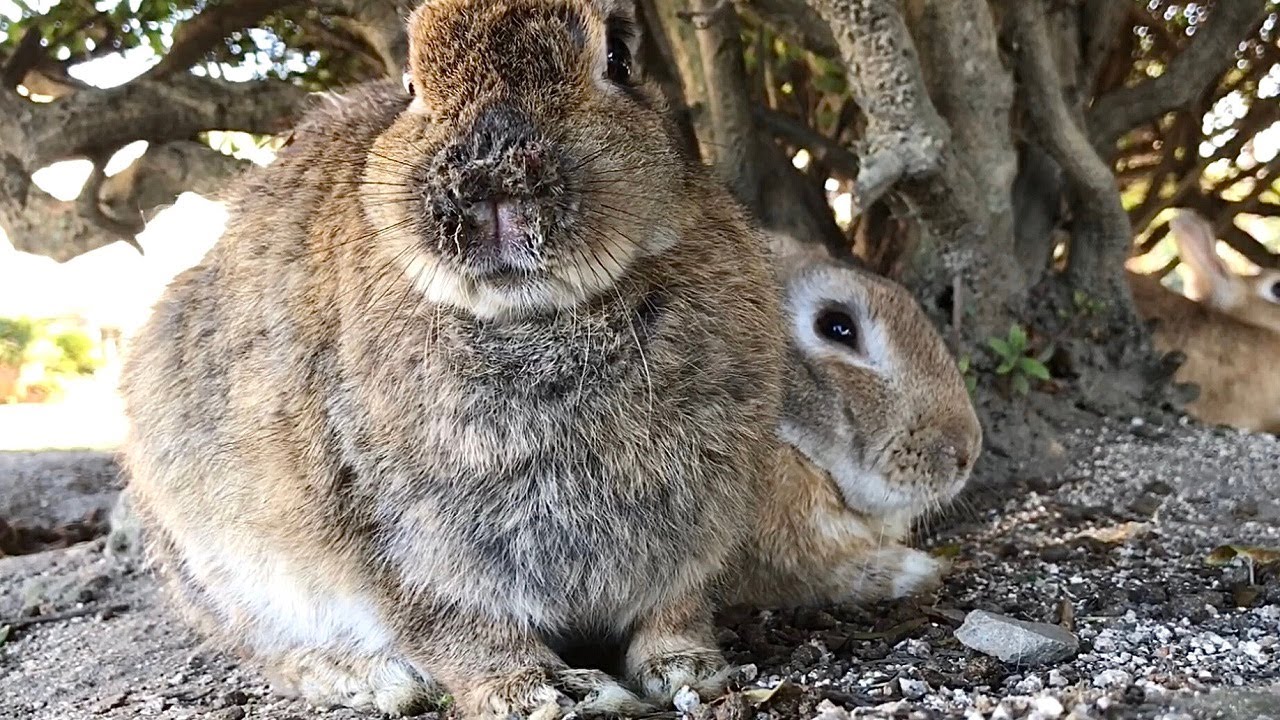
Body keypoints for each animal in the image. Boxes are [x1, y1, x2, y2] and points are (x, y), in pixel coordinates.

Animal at [118, 1, 785, 717]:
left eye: (619, 58)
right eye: (412, 84)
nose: (490, 178)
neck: (530, 318)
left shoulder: (697, 527)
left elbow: (675, 608)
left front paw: (689, 670)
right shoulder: (394, 537)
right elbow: (457, 625)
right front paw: (542, 693)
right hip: (221, 560)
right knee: (270, 650)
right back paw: (366, 677)